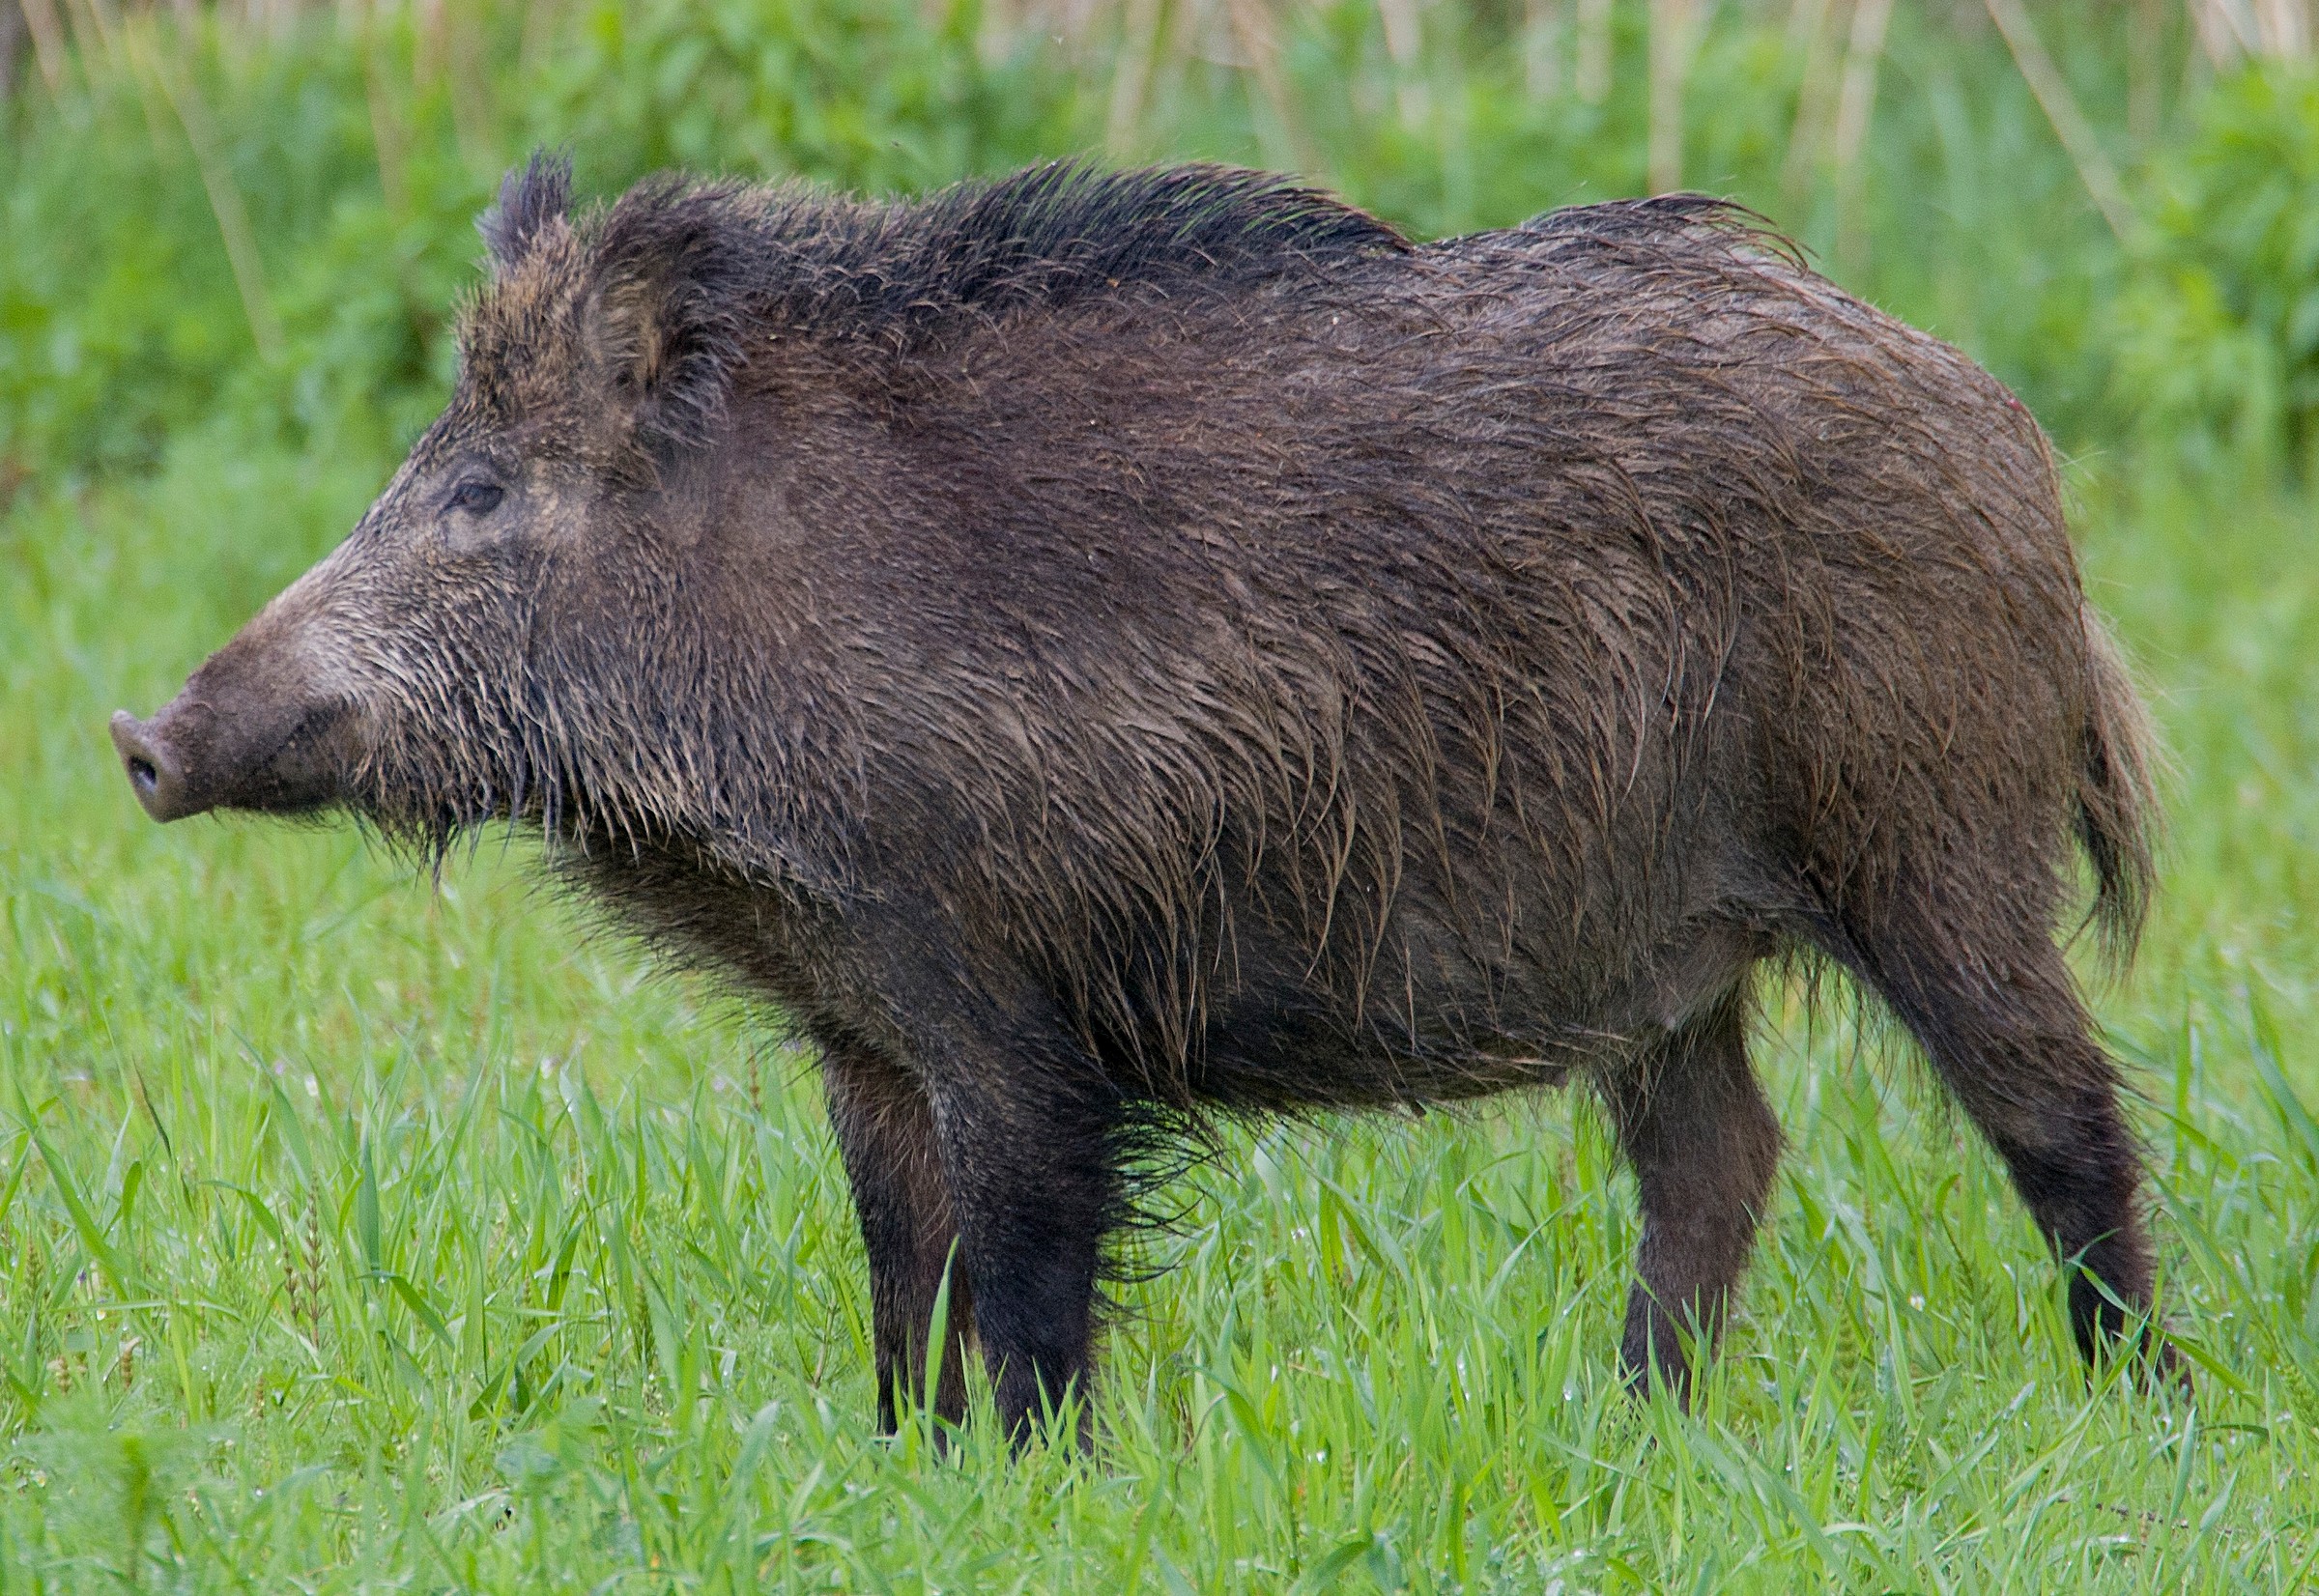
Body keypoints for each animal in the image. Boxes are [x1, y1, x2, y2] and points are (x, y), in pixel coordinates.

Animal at [111, 155, 2176, 1441]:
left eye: (479, 495)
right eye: (413, 469)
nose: (139, 735)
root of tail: (2001, 429)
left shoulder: (1016, 999)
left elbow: (1025, 1278)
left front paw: (1036, 1485)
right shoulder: (865, 1022)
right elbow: (900, 1270)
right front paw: (901, 1469)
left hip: (1930, 829)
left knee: (2059, 1110)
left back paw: (2139, 1398)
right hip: (1660, 947)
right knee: (1721, 1160)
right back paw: (1638, 1426)